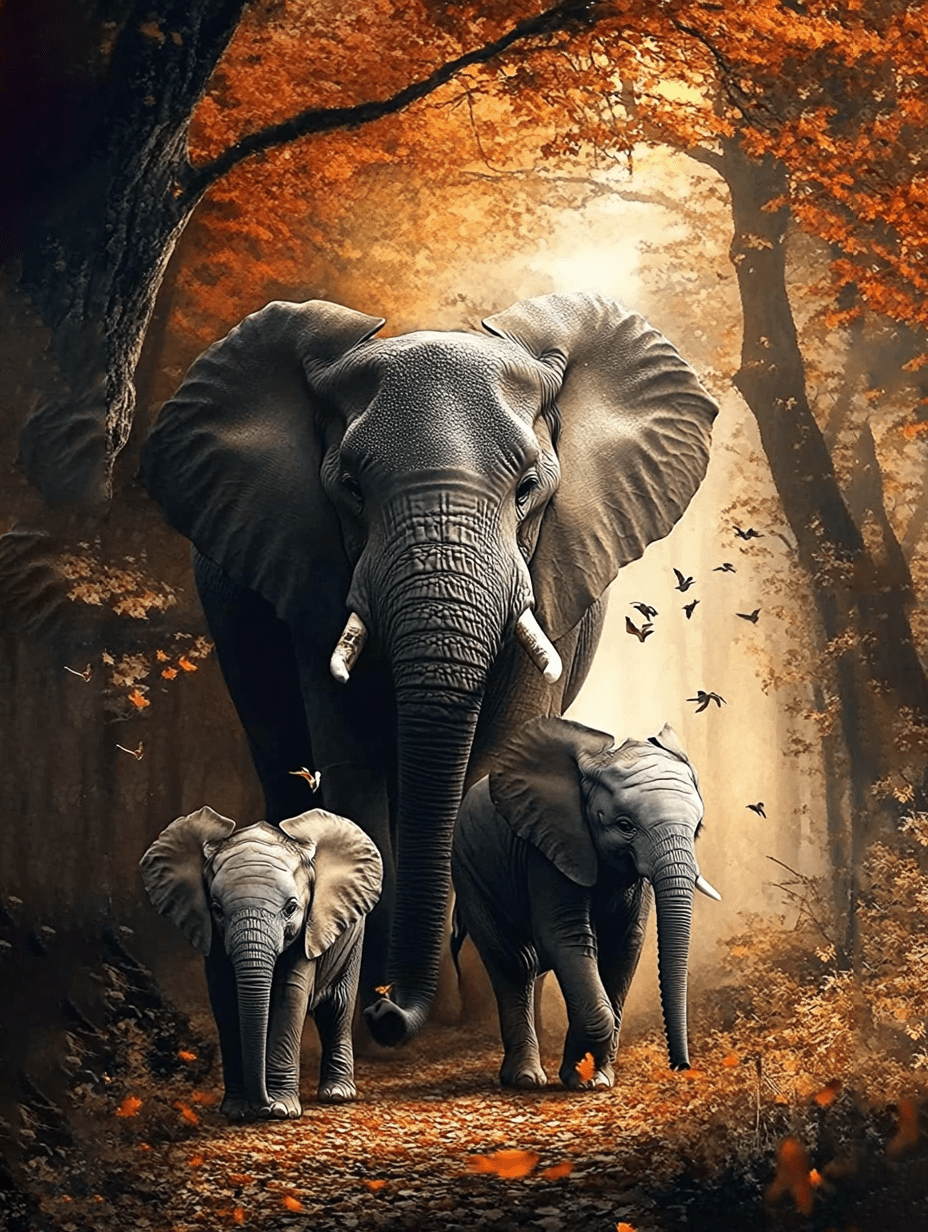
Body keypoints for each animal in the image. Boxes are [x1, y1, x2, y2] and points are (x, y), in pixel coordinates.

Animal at [139, 806, 382, 1118]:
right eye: (216, 909)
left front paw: (280, 1111)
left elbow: (290, 995)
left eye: (291, 908)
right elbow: (225, 1000)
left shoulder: (307, 931)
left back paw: (337, 1094)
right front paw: (237, 1111)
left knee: (336, 1010)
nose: (262, 1106)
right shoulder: (213, 938)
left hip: (351, 938)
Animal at [140, 291, 718, 1049]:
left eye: (528, 487)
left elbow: (500, 755)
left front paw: (451, 1011)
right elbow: (351, 768)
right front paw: (383, 1010)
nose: (391, 1017)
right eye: (351, 488)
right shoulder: (310, 569)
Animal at [450, 717, 719, 1088]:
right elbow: (568, 938)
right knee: (515, 963)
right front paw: (582, 1079)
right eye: (625, 826)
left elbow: (624, 945)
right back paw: (525, 1079)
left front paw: (596, 1079)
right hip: (469, 871)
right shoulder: (549, 847)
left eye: (697, 829)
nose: (680, 1066)